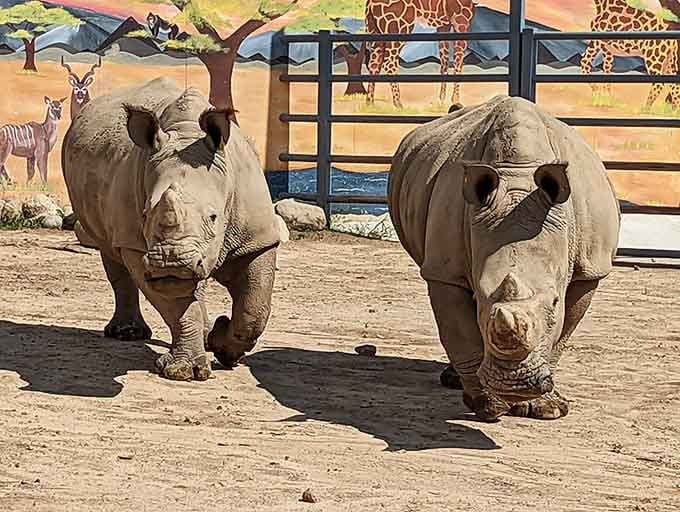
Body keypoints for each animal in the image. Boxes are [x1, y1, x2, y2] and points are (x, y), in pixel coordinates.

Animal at [62, 77, 280, 381]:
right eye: (145, 214)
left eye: (213, 216)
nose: (171, 261)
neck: (187, 134)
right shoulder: (136, 244)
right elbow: (177, 307)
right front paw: (185, 370)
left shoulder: (257, 239)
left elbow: (254, 309)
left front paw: (223, 349)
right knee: (109, 248)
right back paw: (128, 333)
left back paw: (207, 334)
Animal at [388, 95, 620, 421]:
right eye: (481, 299)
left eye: (554, 301)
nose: (515, 385)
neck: (519, 179)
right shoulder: (443, 270)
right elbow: (459, 333)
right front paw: (489, 405)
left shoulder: (590, 268)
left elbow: (562, 333)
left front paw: (547, 409)